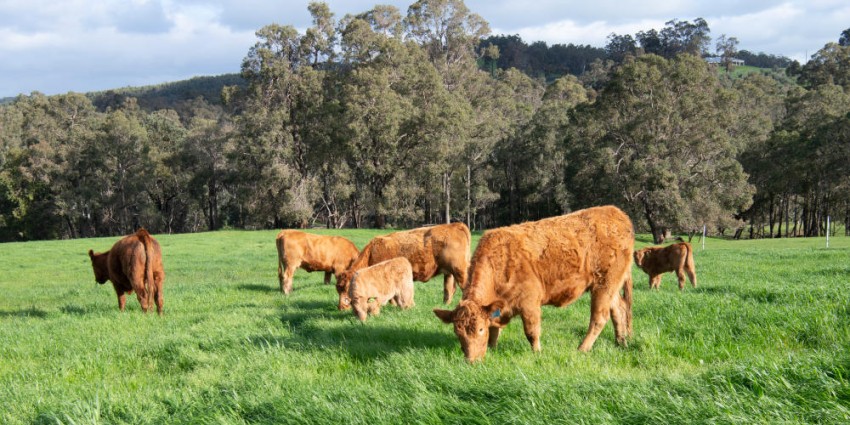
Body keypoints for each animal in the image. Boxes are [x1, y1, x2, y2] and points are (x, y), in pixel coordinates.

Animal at [336, 222, 470, 310]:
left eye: (345, 288)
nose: (341, 307)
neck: (371, 254)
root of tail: (455, 225)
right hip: (449, 273)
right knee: (449, 290)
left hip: (460, 270)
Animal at [433, 206, 634, 362]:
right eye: (458, 333)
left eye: (480, 329)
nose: (471, 360)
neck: (500, 262)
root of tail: (616, 213)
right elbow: (495, 330)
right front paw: (492, 349)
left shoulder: (529, 303)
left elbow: (532, 331)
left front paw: (537, 353)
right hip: (609, 286)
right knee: (618, 310)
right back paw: (621, 342)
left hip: (604, 284)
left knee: (599, 317)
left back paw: (582, 349)